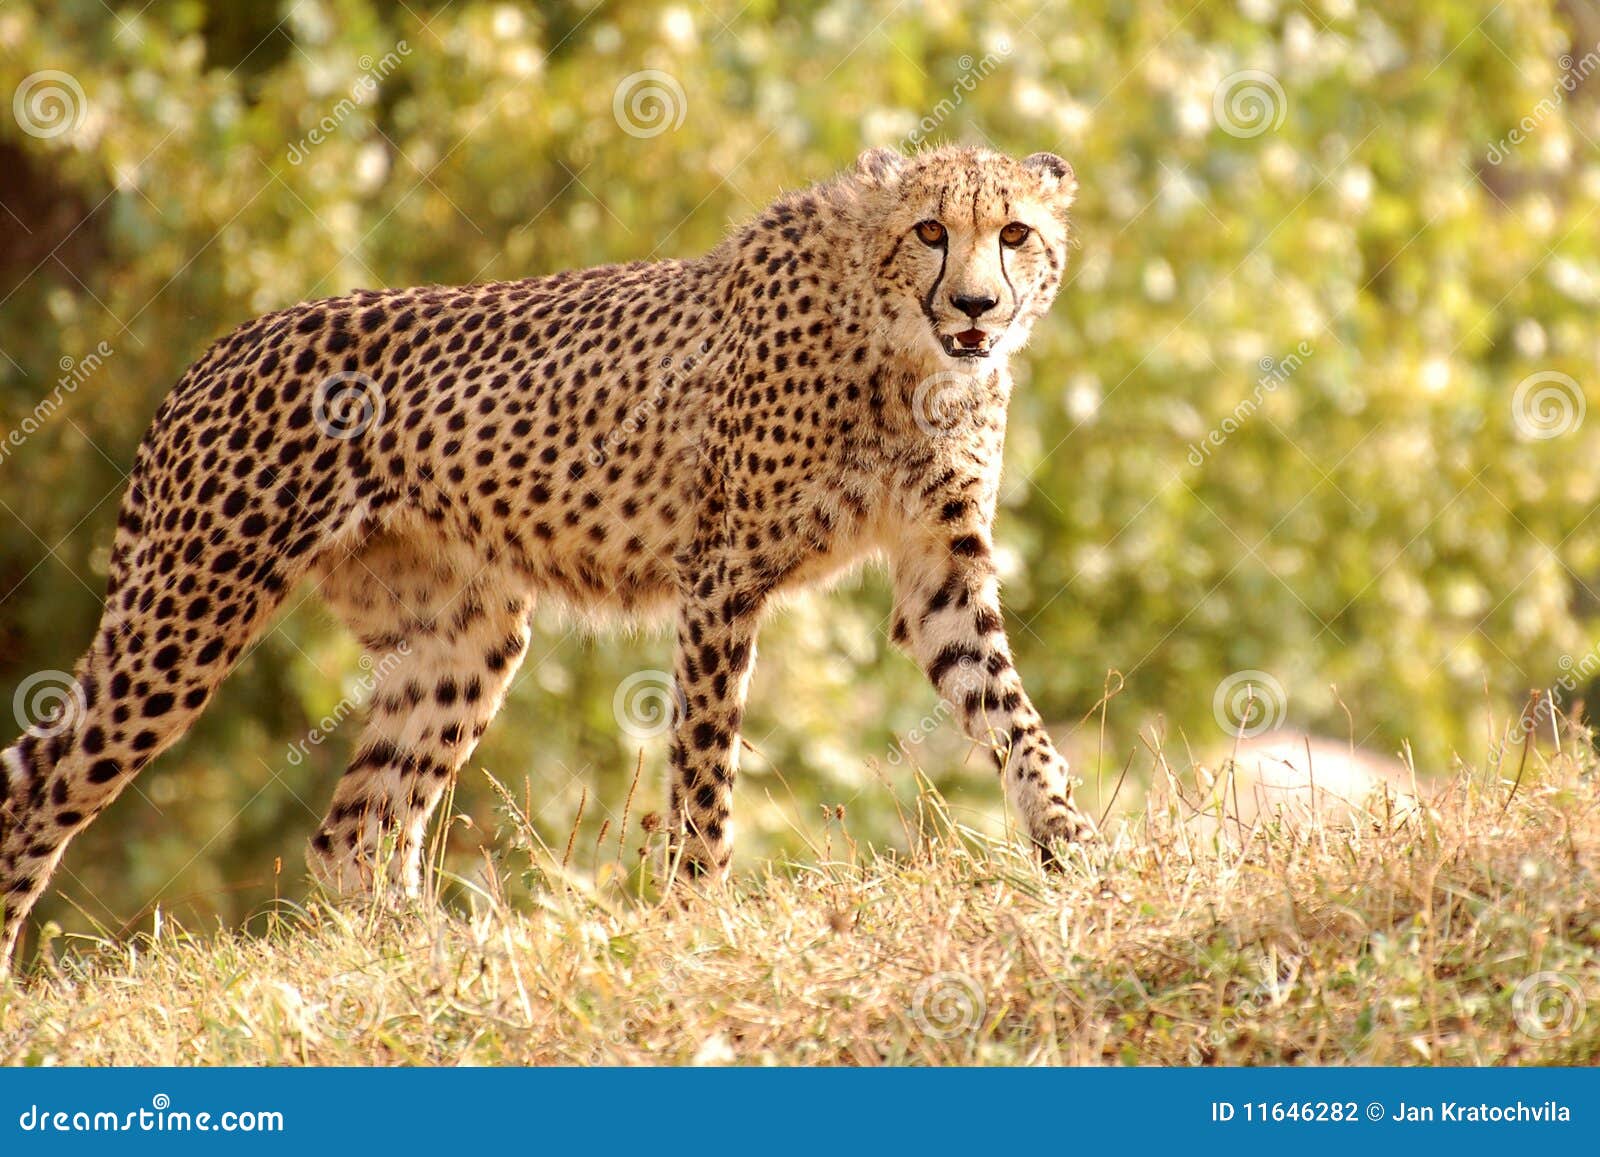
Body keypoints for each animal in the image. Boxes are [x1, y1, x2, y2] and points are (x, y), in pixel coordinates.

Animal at [0, 143, 1097, 969]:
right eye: (929, 231)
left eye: (1013, 234)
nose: (975, 307)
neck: (904, 350)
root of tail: (219, 347)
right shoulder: (723, 577)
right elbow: (704, 766)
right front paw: (700, 914)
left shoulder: (940, 567)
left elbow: (1014, 717)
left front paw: (1075, 851)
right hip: (185, 618)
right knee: (37, 783)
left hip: (465, 635)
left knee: (354, 827)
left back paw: (438, 956)